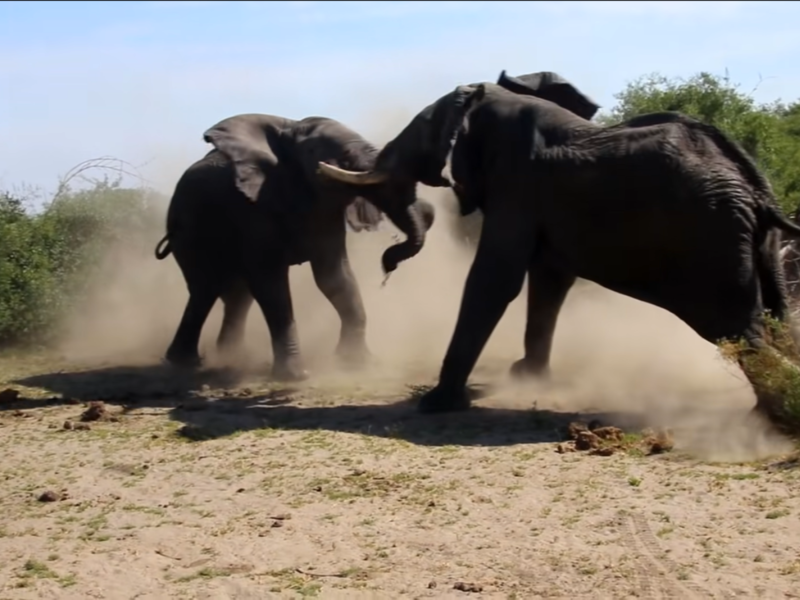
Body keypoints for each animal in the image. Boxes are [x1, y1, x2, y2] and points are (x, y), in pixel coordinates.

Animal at [154, 113, 435, 382]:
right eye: (316, 153)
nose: (388, 263)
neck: (290, 128)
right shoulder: (253, 206)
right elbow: (270, 283)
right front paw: (295, 376)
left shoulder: (326, 213)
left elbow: (335, 277)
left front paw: (359, 364)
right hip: (187, 227)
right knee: (206, 288)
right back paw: (185, 363)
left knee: (236, 295)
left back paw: (230, 357)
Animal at [315, 70, 800, 414]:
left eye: (419, 130)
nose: (387, 265)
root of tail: (757, 190)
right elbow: (549, 281)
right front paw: (525, 379)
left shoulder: (517, 184)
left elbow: (495, 279)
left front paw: (435, 404)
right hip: (757, 247)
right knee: (773, 323)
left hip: (712, 245)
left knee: (740, 330)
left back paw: (770, 418)